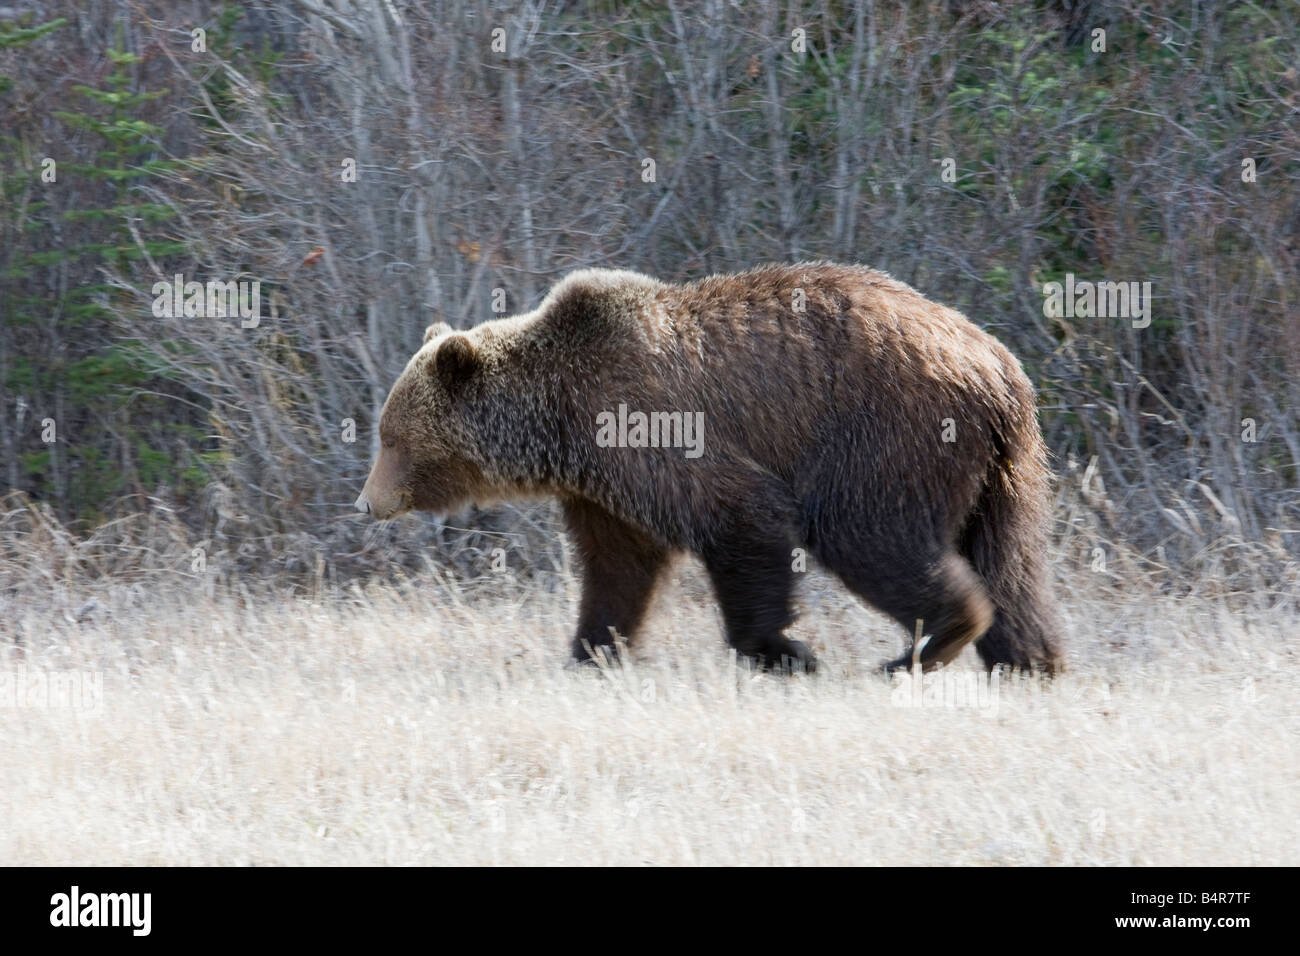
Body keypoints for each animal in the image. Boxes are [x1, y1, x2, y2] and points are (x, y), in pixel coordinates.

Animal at [355, 263, 1062, 675]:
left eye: (391, 438)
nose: (366, 501)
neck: (560, 420)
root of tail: (996, 366)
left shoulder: (651, 424)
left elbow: (742, 518)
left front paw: (784, 650)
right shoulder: (605, 486)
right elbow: (618, 567)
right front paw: (593, 650)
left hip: (887, 432)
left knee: (867, 532)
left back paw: (927, 646)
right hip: (1004, 467)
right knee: (1010, 560)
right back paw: (1029, 659)